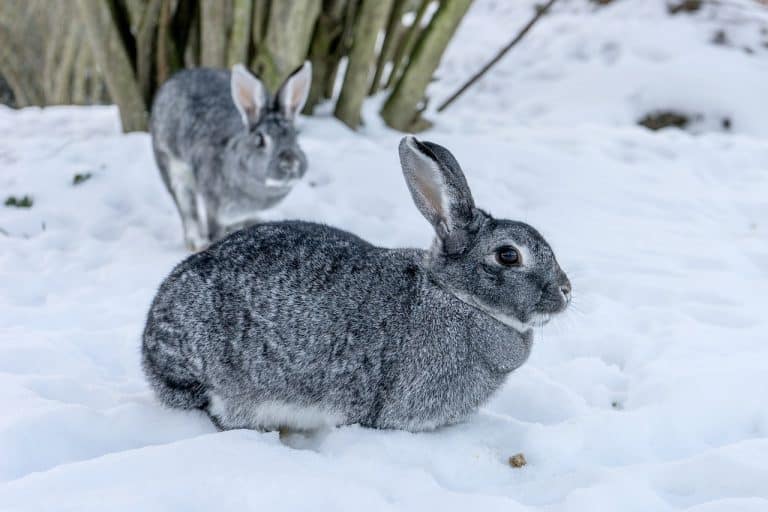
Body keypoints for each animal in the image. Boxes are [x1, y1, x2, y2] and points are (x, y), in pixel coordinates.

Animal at [150, 62, 312, 251]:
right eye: (260, 140)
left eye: (296, 136)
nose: (291, 163)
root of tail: (178, 76)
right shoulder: (214, 209)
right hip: (171, 168)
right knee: (187, 209)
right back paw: (196, 243)